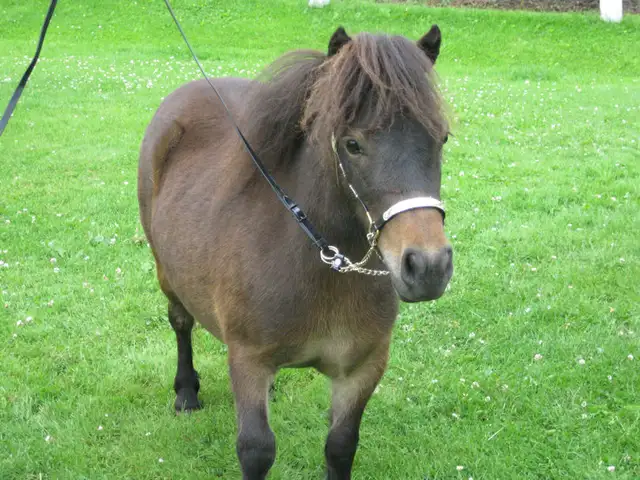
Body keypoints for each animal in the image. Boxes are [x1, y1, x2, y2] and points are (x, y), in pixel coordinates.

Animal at [137, 24, 453, 480]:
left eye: (441, 138)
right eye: (352, 144)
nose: (428, 265)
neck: (324, 267)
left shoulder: (362, 367)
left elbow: (341, 446)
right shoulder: (248, 361)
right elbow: (256, 450)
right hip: (166, 271)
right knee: (180, 322)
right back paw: (186, 393)